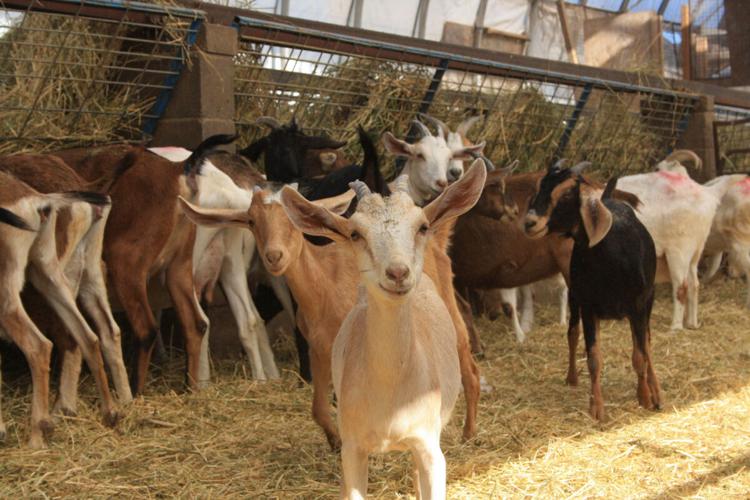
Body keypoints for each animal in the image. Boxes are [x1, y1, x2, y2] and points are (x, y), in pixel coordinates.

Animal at [279, 163, 486, 499]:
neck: (391, 395)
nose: (398, 272)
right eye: (355, 233)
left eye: (422, 226)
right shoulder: (351, 448)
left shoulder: (429, 447)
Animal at [523, 162, 660, 420]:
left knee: (647, 343)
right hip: (575, 297)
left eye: (567, 193)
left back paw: (655, 390)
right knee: (572, 333)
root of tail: (608, 198)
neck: (608, 260)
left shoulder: (638, 306)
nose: (529, 222)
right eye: (539, 187)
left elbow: (640, 355)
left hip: (648, 301)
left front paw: (645, 397)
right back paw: (572, 377)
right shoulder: (588, 306)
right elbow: (593, 358)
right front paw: (596, 407)